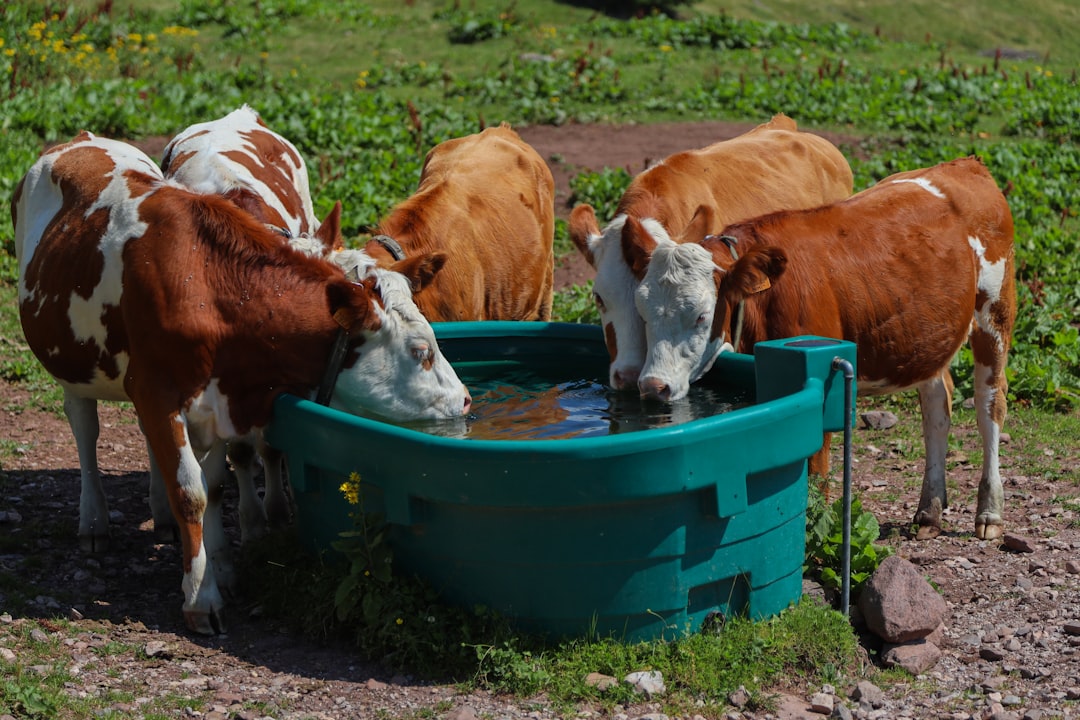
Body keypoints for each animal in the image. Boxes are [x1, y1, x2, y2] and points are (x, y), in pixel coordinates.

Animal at [13, 132, 471, 634]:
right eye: (421, 351)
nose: (467, 401)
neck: (206, 286)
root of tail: (82, 138)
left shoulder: (214, 397)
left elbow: (213, 484)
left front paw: (224, 566)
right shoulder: (158, 391)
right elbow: (190, 493)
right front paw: (201, 595)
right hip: (71, 359)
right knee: (84, 426)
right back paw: (94, 520)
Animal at [631, 156, 1016, 541]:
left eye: (701, 315)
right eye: (642, 311)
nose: (653, 385)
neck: (765, 299)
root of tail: (964, 164)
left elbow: (815, 477)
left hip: (994, 314)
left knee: (989, 405)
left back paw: (990, 512)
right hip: (928, 336)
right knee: (937, 407)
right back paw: (930, 511)